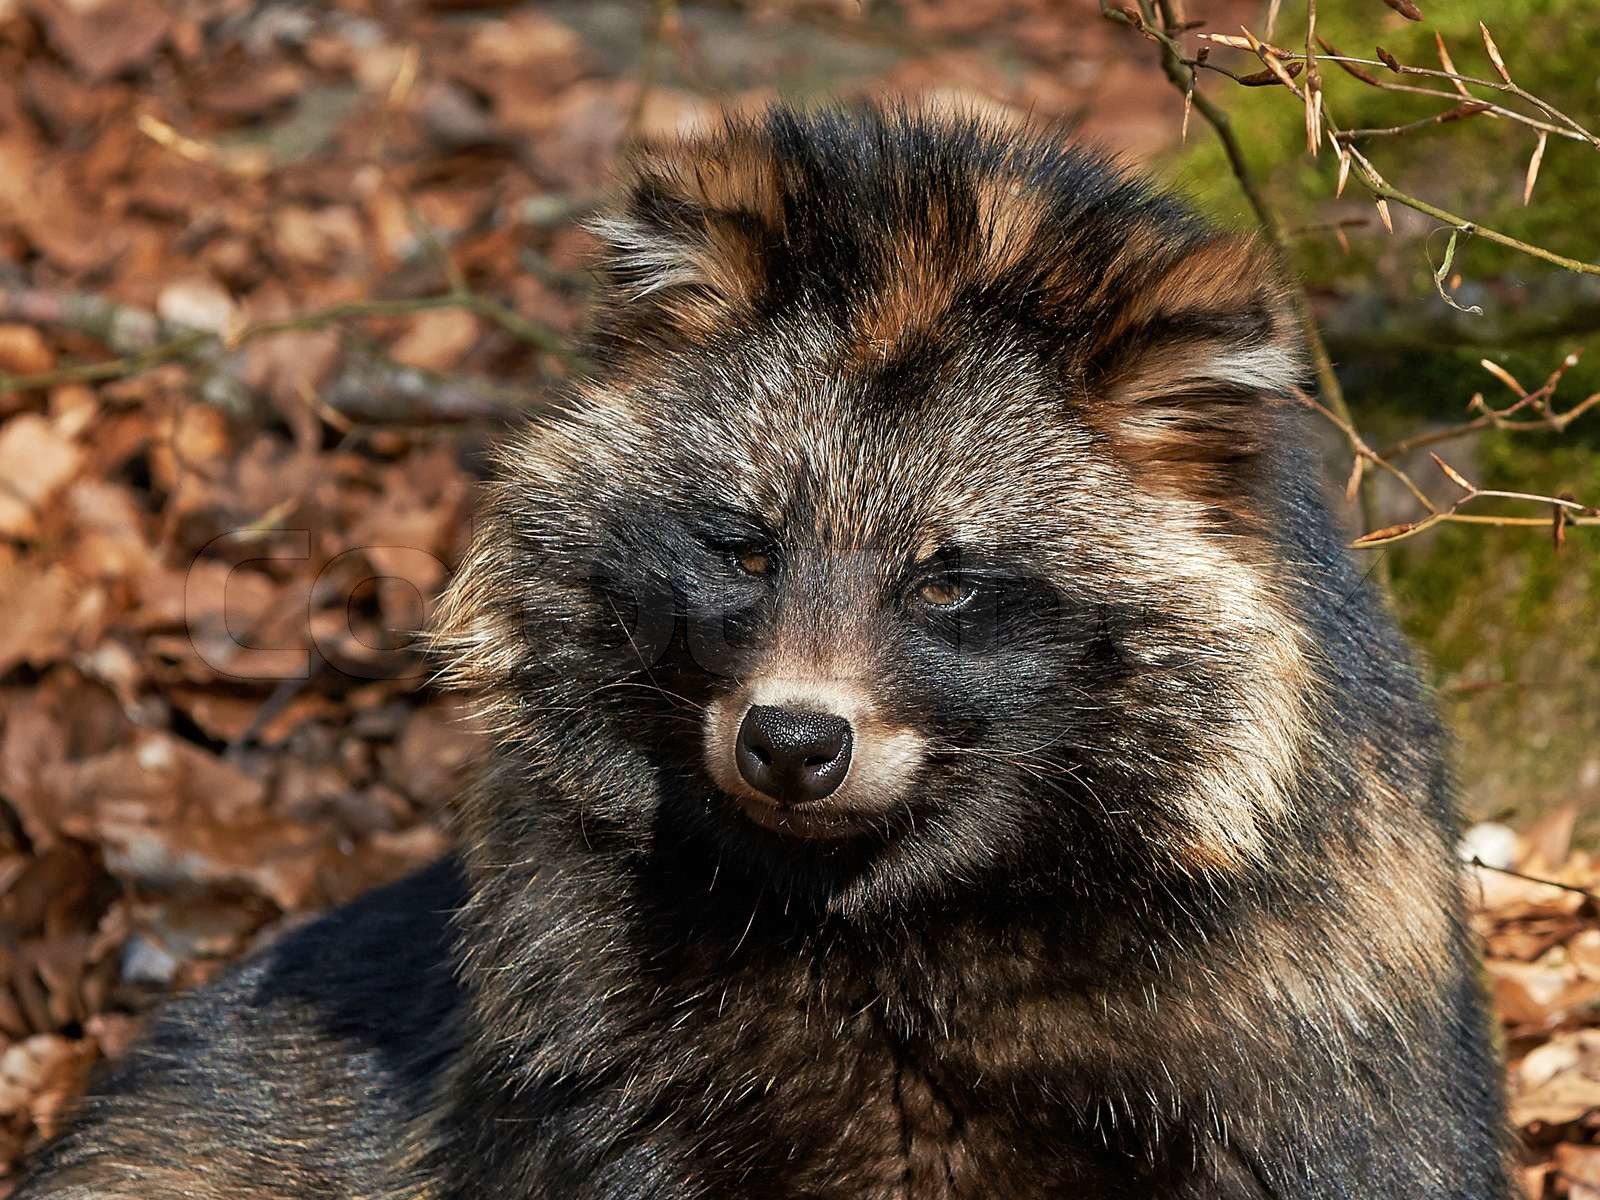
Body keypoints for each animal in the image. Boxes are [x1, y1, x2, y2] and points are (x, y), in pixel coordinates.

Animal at [17, 105, 1511, 1199]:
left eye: (947, 581)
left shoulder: (1293, 1045)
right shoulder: (586, 1072)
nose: (793, 741)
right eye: (742, 547)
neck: (889, 914)